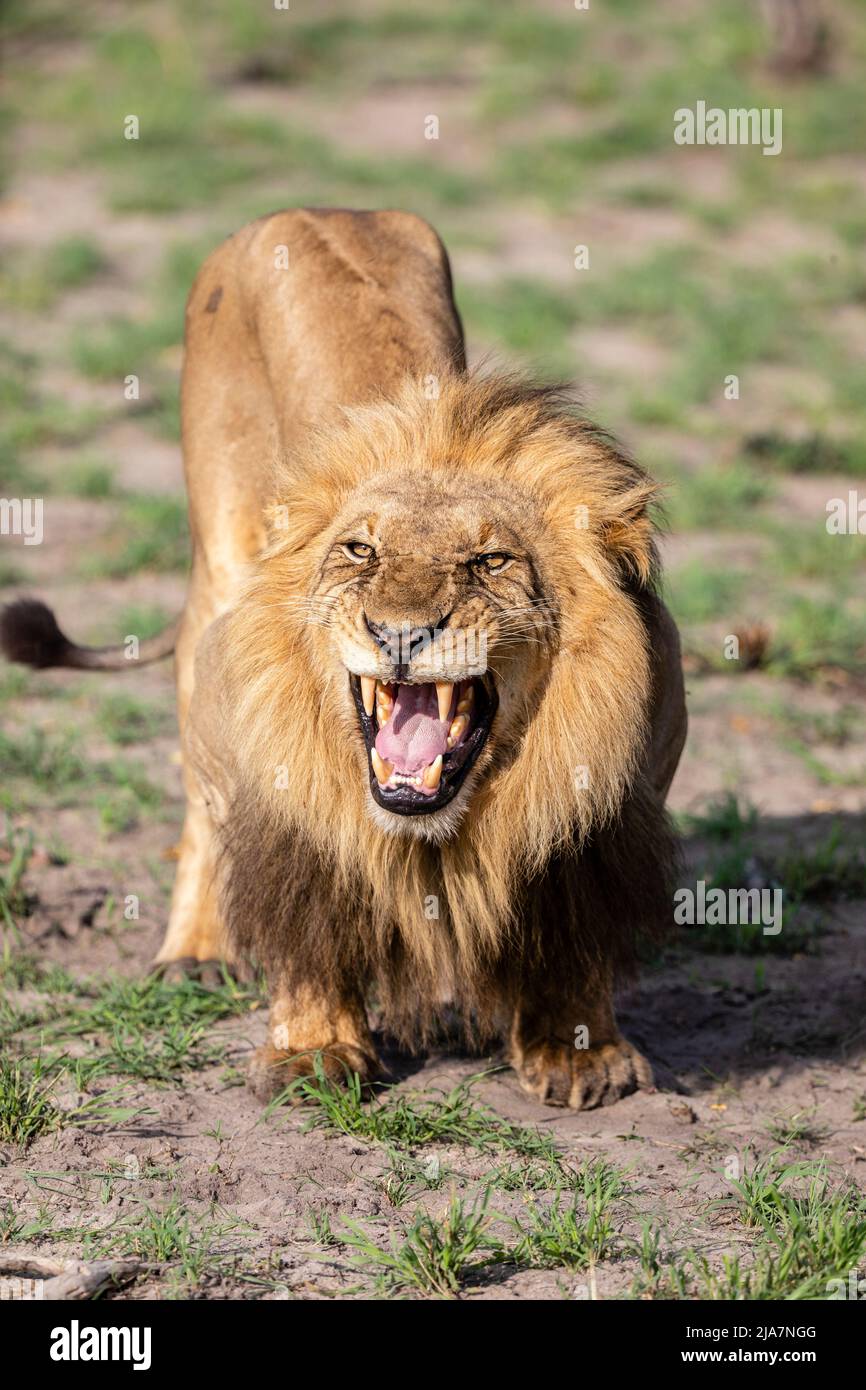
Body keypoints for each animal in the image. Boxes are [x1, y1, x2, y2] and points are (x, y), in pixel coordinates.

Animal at [1, 208, 687, 1110]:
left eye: (491, 562)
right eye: (361, 552)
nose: (400, 632)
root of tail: (305, 209)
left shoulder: (615, 787)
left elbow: (566, 923)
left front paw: (579, 1051)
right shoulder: (279, 787)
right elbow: (306, 914)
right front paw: (313, 1051)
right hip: (217, 581)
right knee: (200, 795)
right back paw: (194, 952)